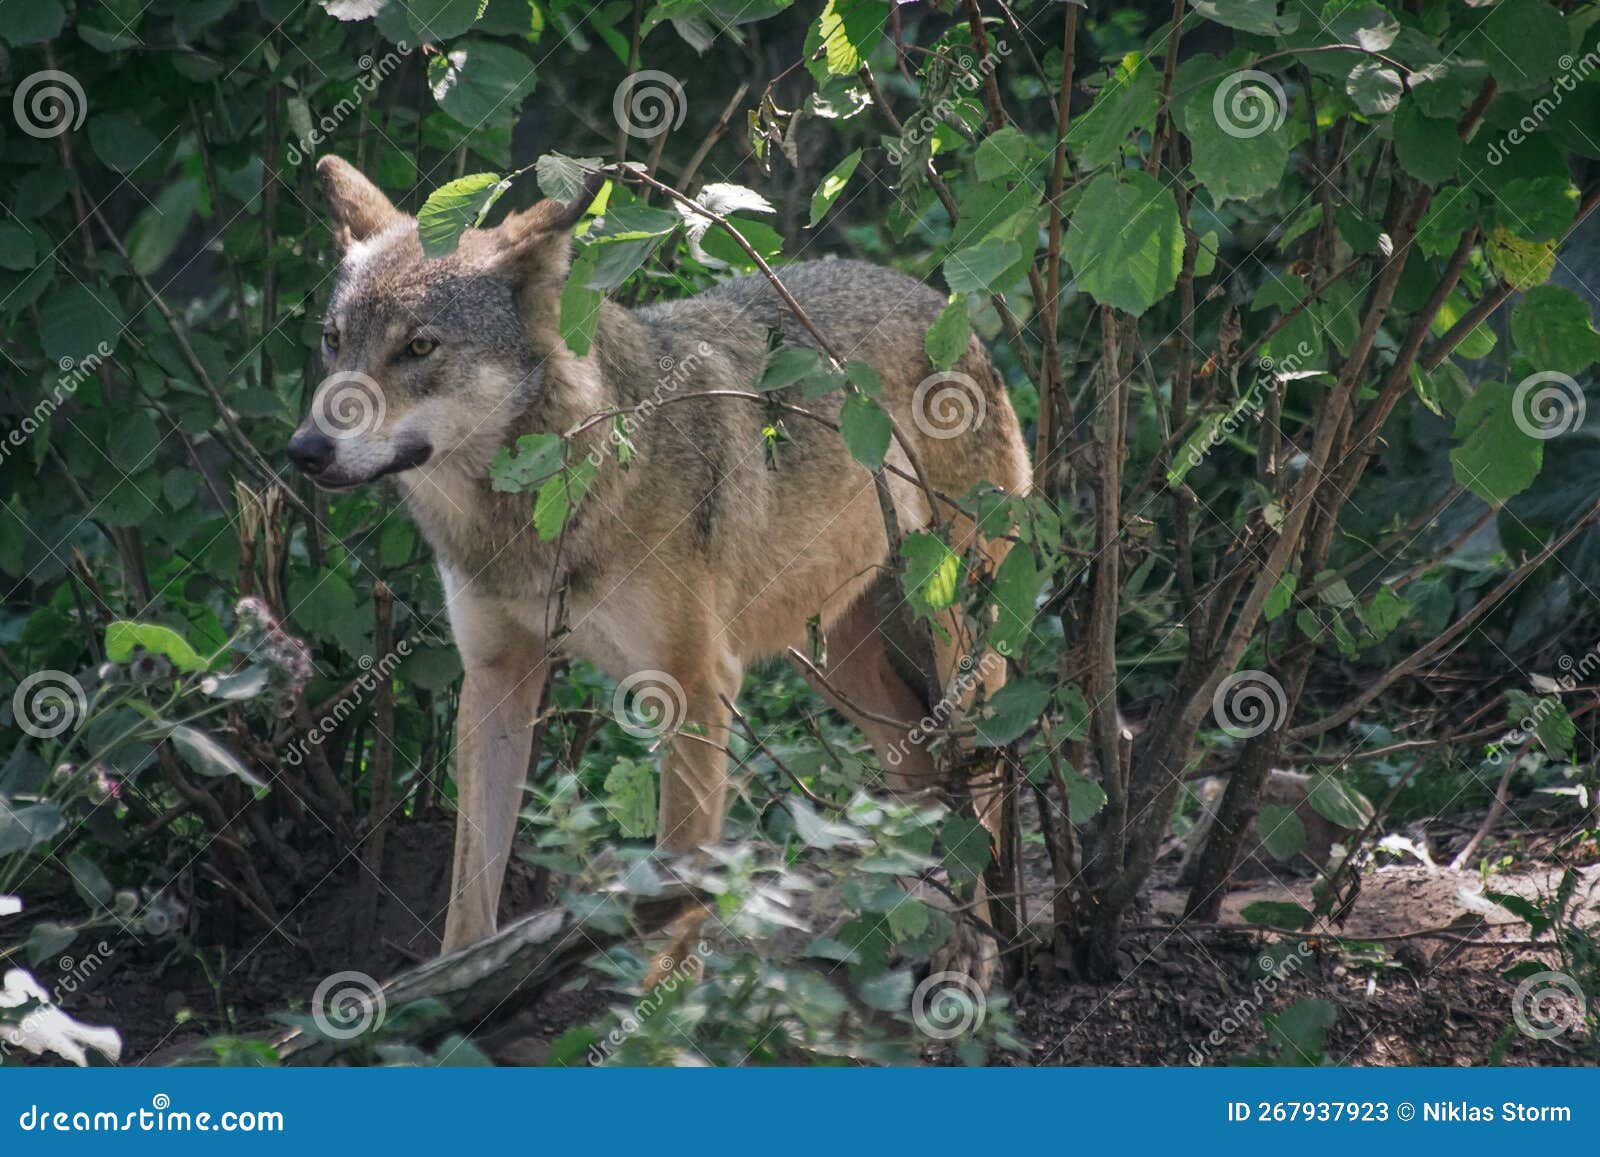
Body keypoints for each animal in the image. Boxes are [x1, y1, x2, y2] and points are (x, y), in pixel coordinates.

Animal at [289, 156, 1031, 982]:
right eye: (334, 340)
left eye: (419, 347)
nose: (306, 450)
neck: (543, 509)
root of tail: (946, 304)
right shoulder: (494, 677)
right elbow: (469, 899)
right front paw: (455, 992)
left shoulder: (696, 687)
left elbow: (676, 897)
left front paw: (668, 1007)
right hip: (843, 664)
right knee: (919, 778)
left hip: (954, 649)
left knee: (979, 789)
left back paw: (973, 954)